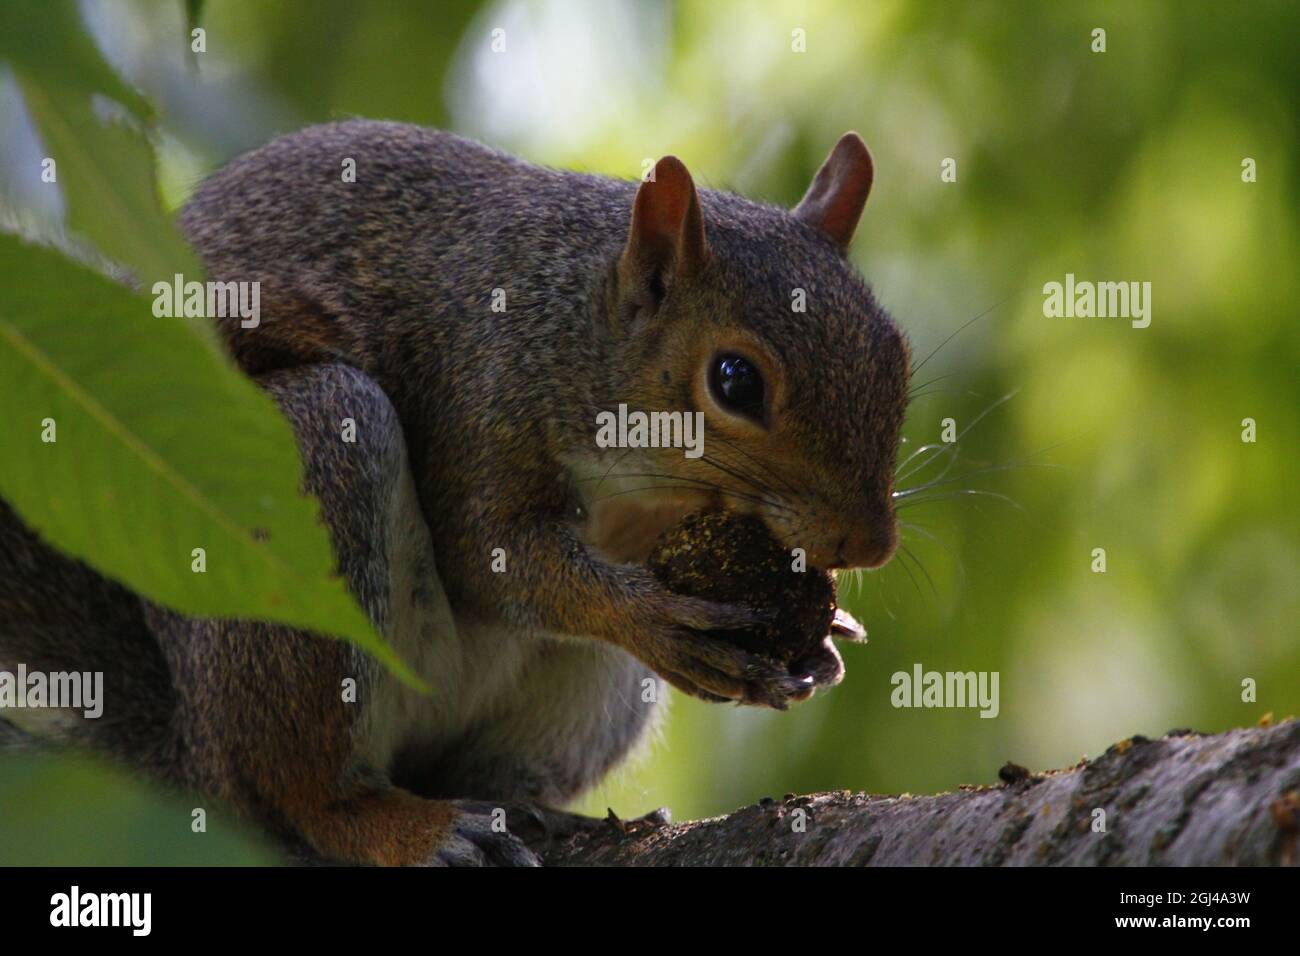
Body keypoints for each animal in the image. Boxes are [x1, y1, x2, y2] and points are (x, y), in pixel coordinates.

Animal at [0, 121, 909, 865]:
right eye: (733, 380)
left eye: (896, 353)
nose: (869, 546)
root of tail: (189, 752)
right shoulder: (478, 390)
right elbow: (487, 557)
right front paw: (651, 618)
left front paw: (822, 638)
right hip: (314, 486)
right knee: (298, 795)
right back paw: (397, 824)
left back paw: (536, 814)